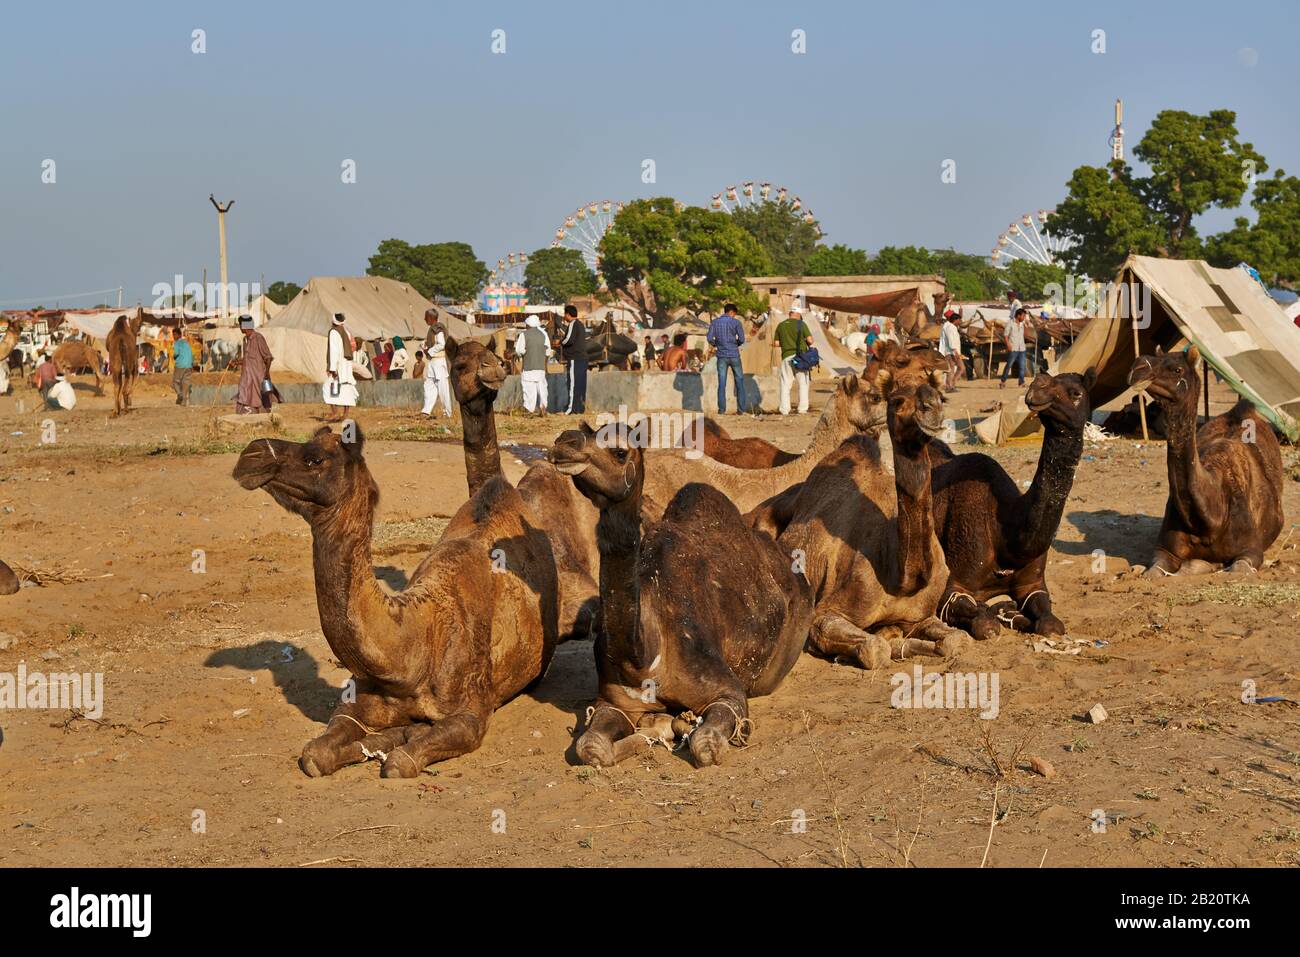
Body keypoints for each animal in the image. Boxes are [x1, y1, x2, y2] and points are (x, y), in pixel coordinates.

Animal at [548, 422, 813, 768]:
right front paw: (656, 729)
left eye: (619, 451)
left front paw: (694, 728)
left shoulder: (727, 692)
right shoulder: (613, 702)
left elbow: (705, 744)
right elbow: (591, 746)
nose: (564, 442)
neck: (645, 658)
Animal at [774, 361, 970, 669]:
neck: (902, 577)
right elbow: (875, 649)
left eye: (941, 396)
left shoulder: (923, 614)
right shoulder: (828, 611)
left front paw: (901, 639)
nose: (932, 408)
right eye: (897, 400)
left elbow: (957, 640)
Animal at [930, 370, 1096, 639]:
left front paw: (1014, 614)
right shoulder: (953, 583)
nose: (1037, 388)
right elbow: (983, 623)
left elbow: (1051, 624)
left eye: (1076, 392)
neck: (1006, 533)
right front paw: (997, 614)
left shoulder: (1033, 584)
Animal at [1128, 346, 1284, 575]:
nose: (1137, 367)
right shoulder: (1164, 550)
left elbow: (1239, 568)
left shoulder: (1251, 550)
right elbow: (1153, 571)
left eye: (1177, 369)